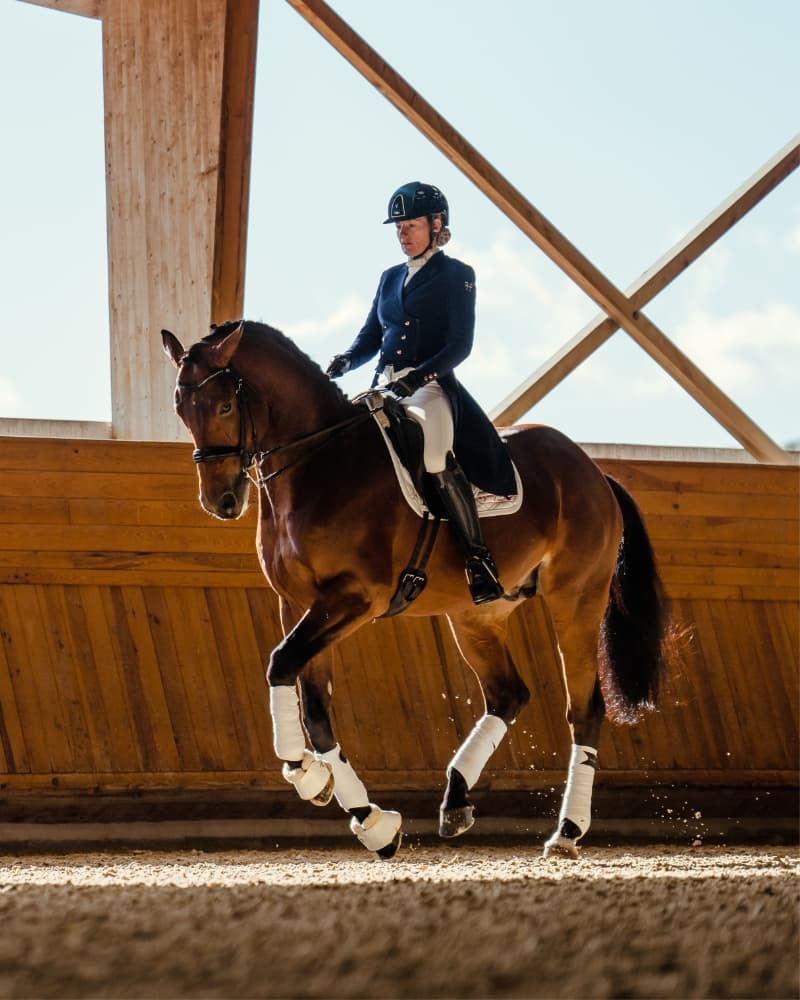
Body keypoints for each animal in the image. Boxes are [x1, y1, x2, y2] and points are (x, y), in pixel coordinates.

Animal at [162, 319, 679, 859]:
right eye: (180, 408)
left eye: (224, 406)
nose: (220, 501)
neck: (319, 462)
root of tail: (592, 469)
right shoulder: (298, 604)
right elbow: (314, 707)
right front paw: (366, 816)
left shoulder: (352, 598)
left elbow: (282, 664)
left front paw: (309, 777)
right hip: (475, 615)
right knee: (507, 695)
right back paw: (456, 800)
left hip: (575, 600)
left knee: (584, 708)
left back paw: (567, 832)